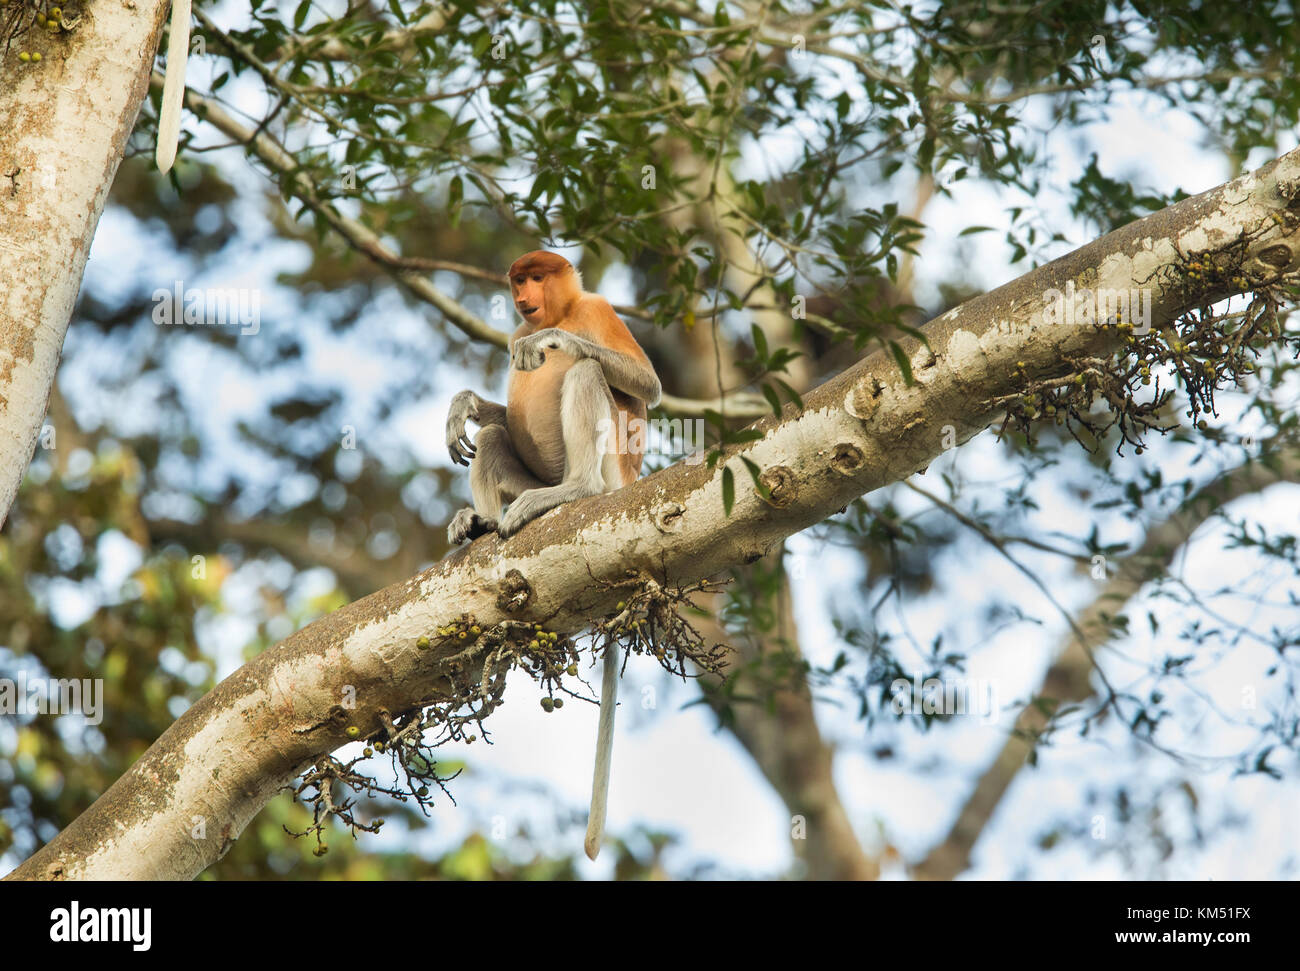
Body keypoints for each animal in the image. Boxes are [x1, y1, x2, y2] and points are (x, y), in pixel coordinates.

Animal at [445, 250, 661, 860]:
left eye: (538, 276)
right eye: (518, 281)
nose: (525, 297)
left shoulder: (598, 310)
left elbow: (647, 383)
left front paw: (551, 341)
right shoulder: (516, 328)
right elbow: (490, 418)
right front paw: (463, 405)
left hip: (610, 469)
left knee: (588, 373)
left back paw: (572, 491)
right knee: (494, 437)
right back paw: (482, 523)